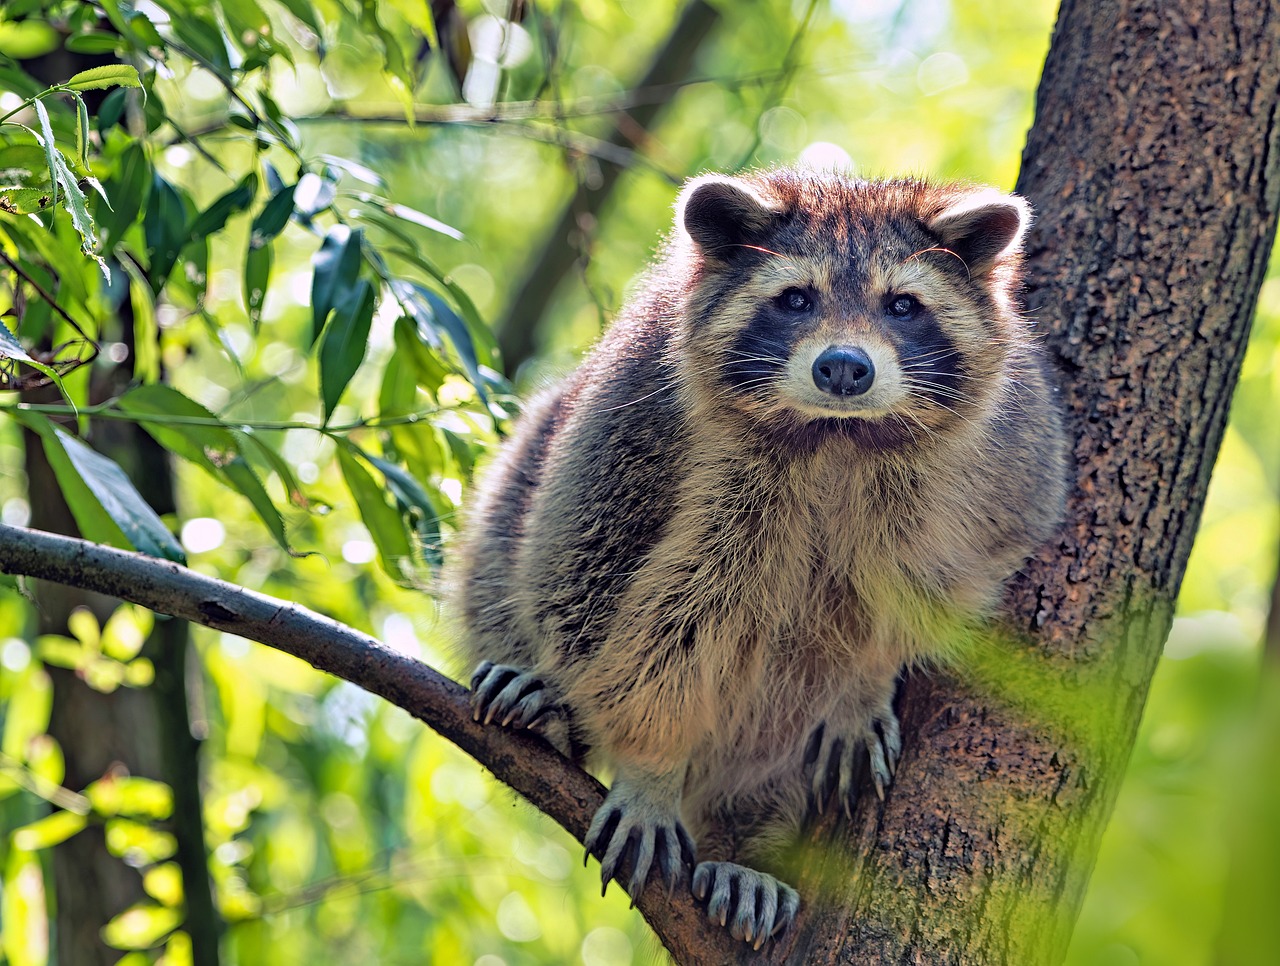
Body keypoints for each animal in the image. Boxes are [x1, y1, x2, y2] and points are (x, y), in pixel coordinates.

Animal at [453, 168, 1067, 947]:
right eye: (796, 298)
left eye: (903, 305)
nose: (844, 369)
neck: (834, 437)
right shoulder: (638, 411)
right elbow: (608, 581)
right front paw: (650, 764)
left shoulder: (1011, 455)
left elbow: (943, 580)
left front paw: (867, 679)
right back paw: (548, 701)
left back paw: (746, 844)